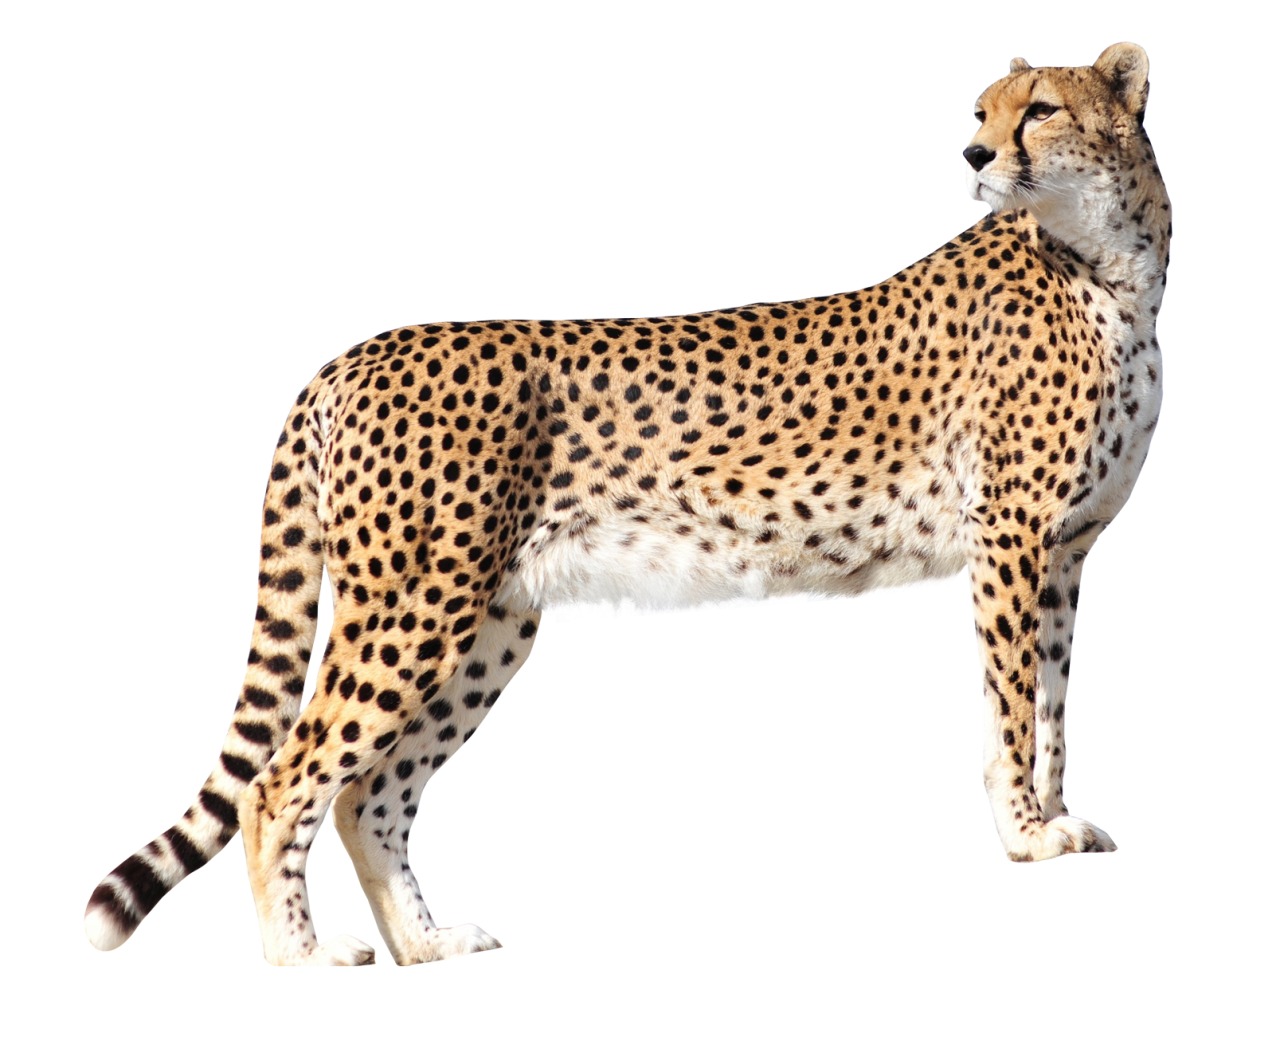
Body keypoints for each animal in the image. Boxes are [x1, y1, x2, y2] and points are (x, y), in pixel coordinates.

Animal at [83, 42, 1170, 966]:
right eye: (980, 112)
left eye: (1038, 109)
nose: (973, 154)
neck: (1110, 264)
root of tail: (350, 354)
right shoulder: (1012, 540)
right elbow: (1013, 704)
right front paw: (1027, 836)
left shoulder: (1064, 552)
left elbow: (1048, 706)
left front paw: (1053, 820)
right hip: (412, 607)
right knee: (282, 782)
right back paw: (302, 954)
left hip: (488, 624)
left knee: (370, 795)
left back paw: (426, 943)